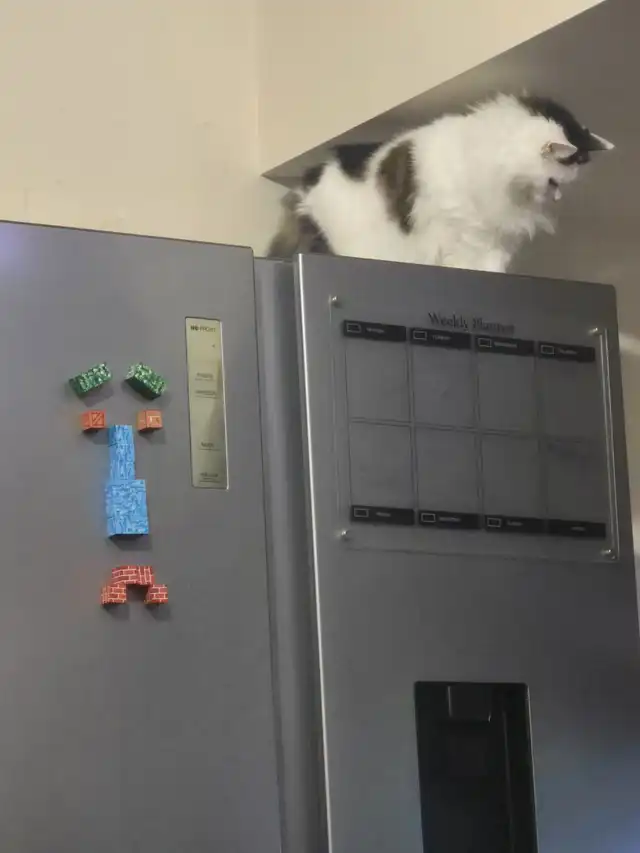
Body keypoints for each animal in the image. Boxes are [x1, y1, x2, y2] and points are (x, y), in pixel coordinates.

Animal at [267, 93, 613, 273]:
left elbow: (490, 267)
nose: (557, 198)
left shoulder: (494, 242)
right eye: (555, 182)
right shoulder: (452, 235)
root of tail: (308, 180)